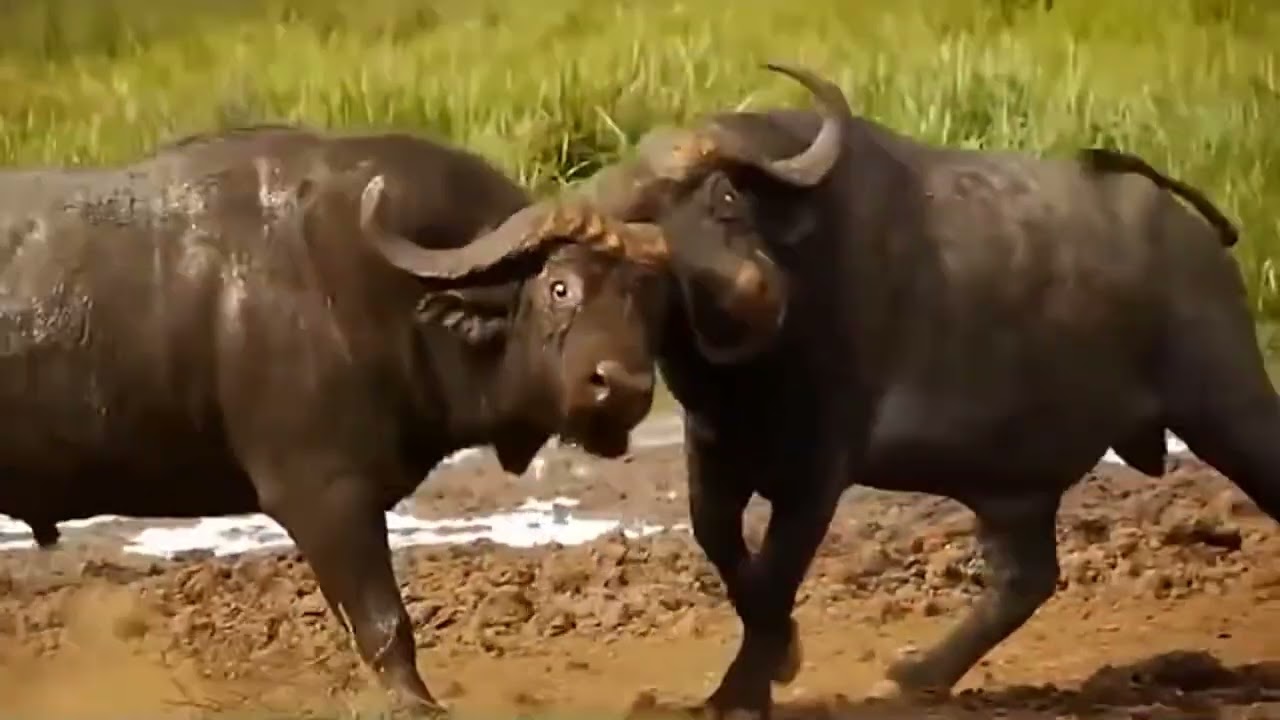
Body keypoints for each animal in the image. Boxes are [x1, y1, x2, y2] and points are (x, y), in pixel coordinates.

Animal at [0, 125, 673, 716]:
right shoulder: (325, 496)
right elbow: (384, 625)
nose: (625, 386)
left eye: (642, 301)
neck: (384, 300)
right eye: (560, 287)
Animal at [578, 63, 1275, 718]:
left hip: (1227, 402)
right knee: (1027, 577)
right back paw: (918, 675)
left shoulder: (821, 466)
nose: (751, 290)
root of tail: (1190, 230)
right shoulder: (713, 447)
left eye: (725, 197)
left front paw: (743, 690)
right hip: (1014, 480)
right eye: (649, 234)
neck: (750, 375)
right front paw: (780, 657)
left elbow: (776, 571)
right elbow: (723, 547)